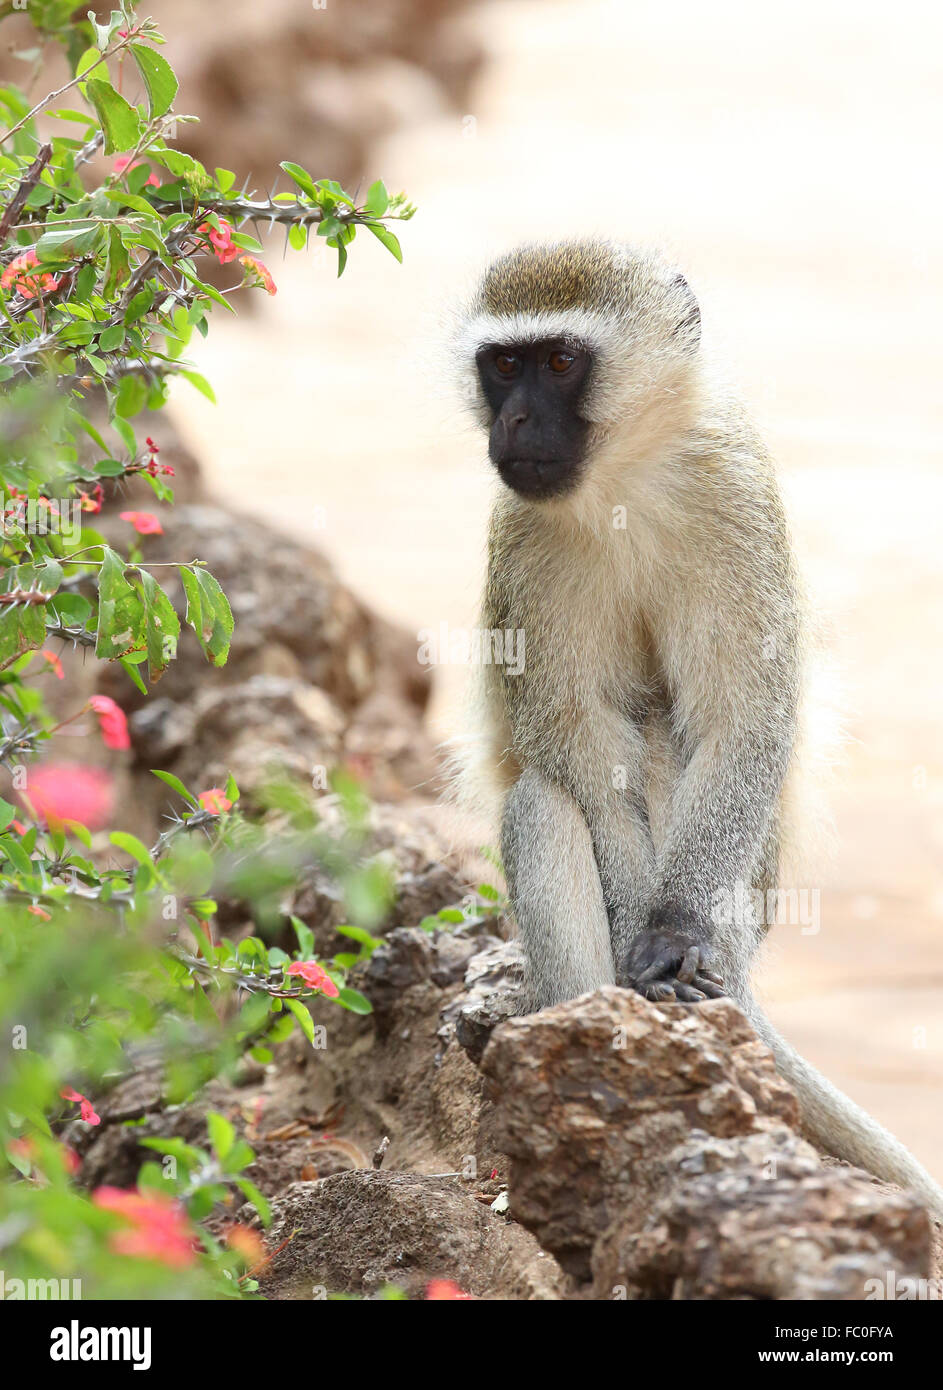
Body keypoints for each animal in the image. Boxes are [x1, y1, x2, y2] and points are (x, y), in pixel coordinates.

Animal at [451, 238, 943, 1222]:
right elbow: (580, 757)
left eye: (558, 363)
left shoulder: (730, 486)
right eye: (501, 365)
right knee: (545, 803)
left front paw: (673, 930)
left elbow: (736, 720)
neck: (620, 479)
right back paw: (590, 1032)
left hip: (751, 895)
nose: (515, 420)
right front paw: (641, 942)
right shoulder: (522, 541)